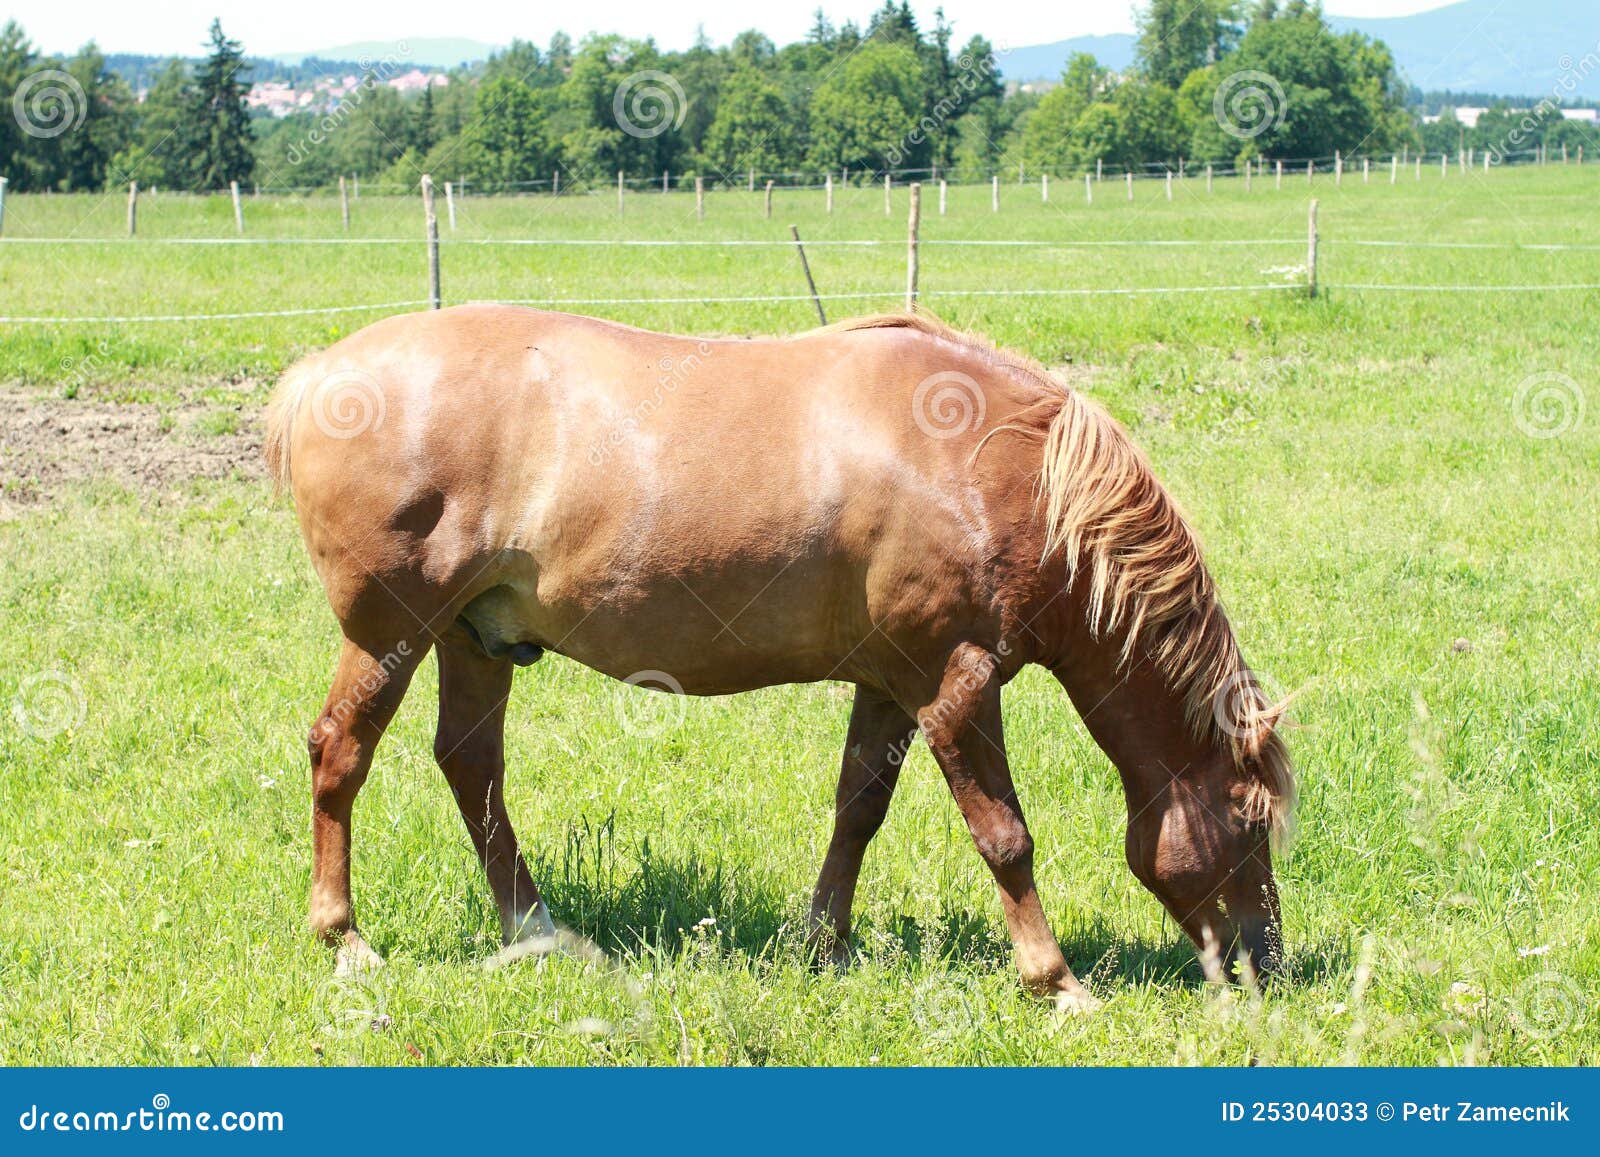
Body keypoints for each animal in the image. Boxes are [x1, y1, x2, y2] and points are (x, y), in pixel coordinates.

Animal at [264, 305, 1294, 1010]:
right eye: (1250, 822)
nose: (1267, 965)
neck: (998, 467)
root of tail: (321, 374)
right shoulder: (955, 686)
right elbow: (1005, 836)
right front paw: (1056, 981)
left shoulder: (891, 683)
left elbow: (859, 809)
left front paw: (825, 941)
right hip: (389, 635)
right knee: (340, 754)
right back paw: (343, 936)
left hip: (471, 639)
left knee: (471, 765)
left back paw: (535, 927)